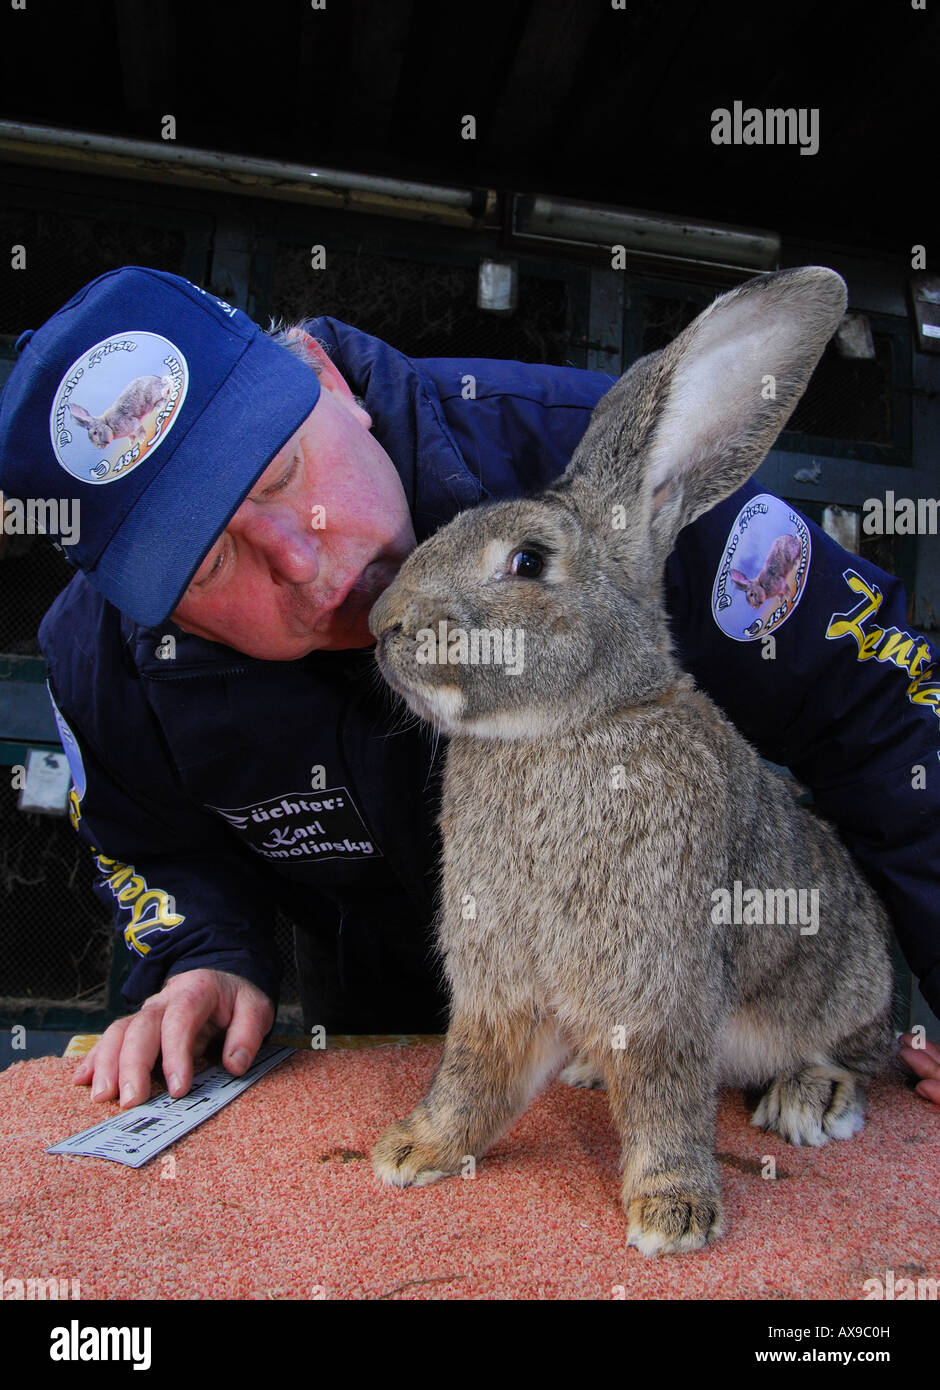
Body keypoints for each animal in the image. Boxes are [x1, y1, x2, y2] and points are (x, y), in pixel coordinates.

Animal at [367, 266, 895, 1256]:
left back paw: (812, 1097)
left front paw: (672, 1212)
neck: (566, 727)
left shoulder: (661, 985)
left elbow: (664, 1097)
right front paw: (415, 1150)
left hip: (841, 982)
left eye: (527, 561)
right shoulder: (498, 987)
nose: (383, 624)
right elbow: (473, 1073)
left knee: (861, 1052)